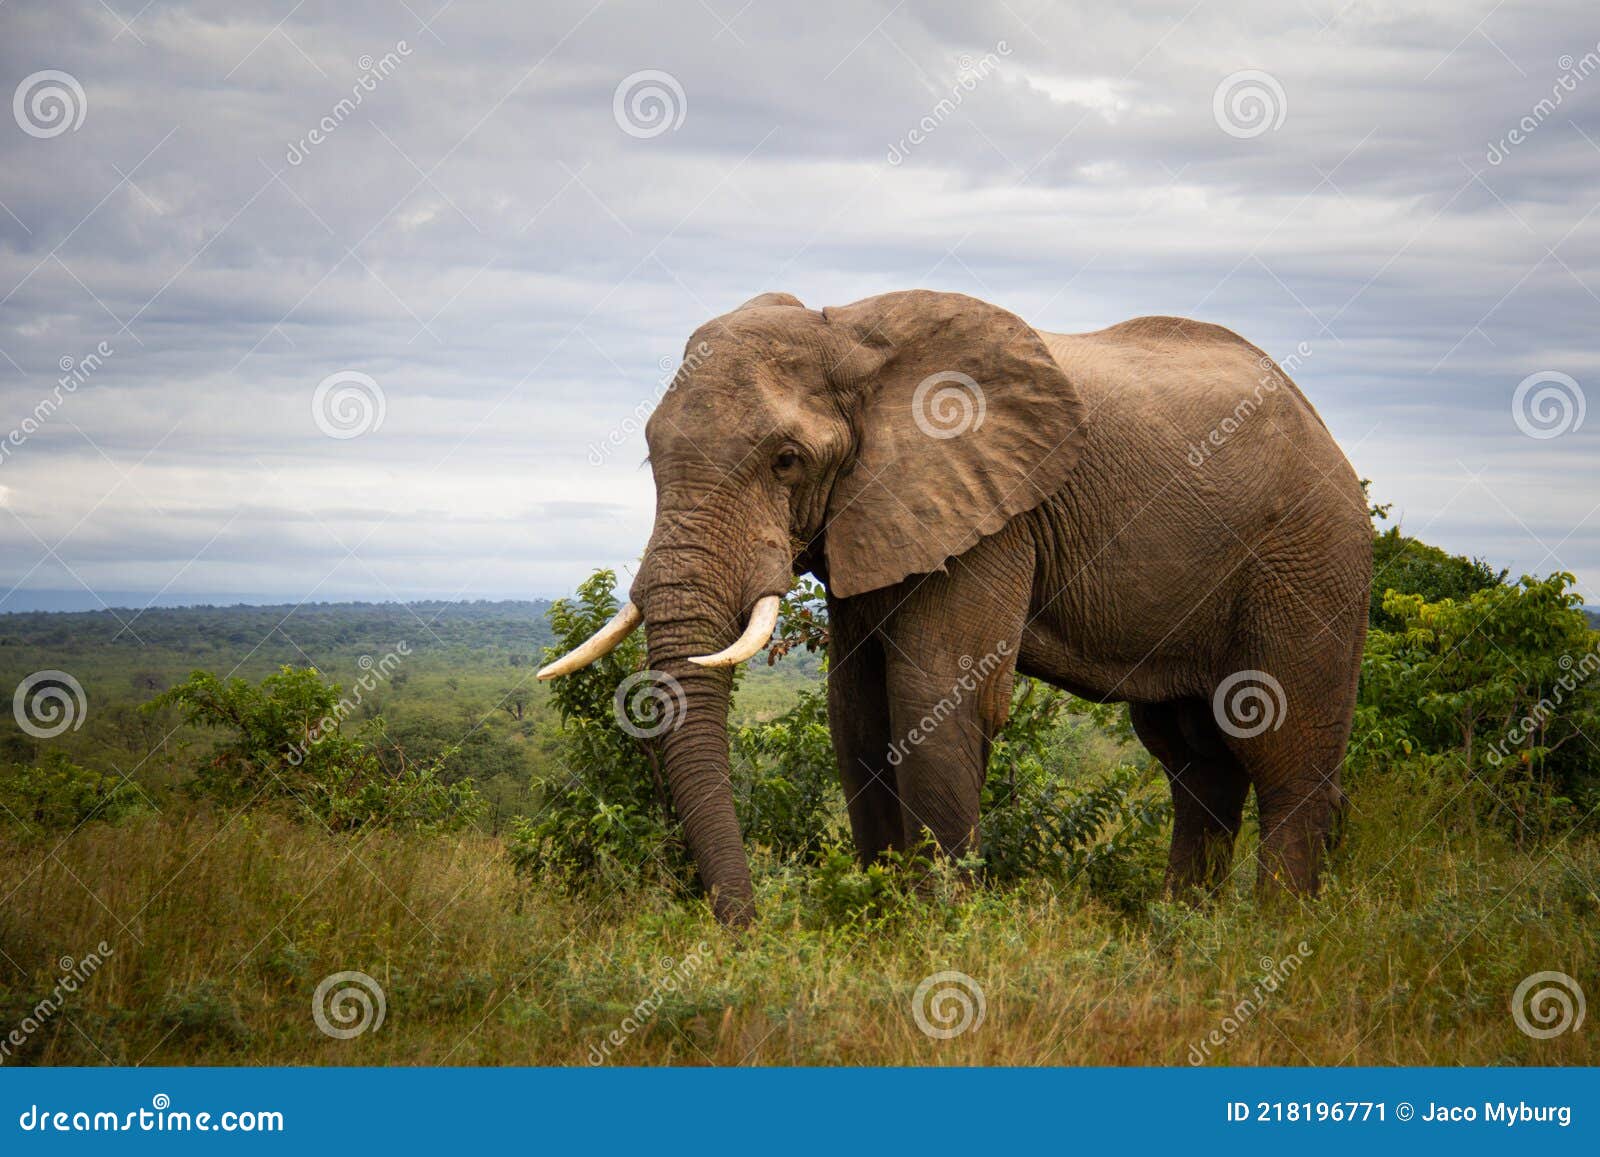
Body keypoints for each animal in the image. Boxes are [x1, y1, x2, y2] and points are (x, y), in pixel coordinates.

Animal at [540, 289, 1372, 926]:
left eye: (786, 460)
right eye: (652, 455)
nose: (746, 932)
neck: (848, 332)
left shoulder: (991, 518)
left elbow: (933, 697)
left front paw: (945, 940)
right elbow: (858, 712)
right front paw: (885, 926)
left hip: (1310, 563)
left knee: (1281, 749)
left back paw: (1269, 937)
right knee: (1196, 759)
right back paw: (1183, 930)